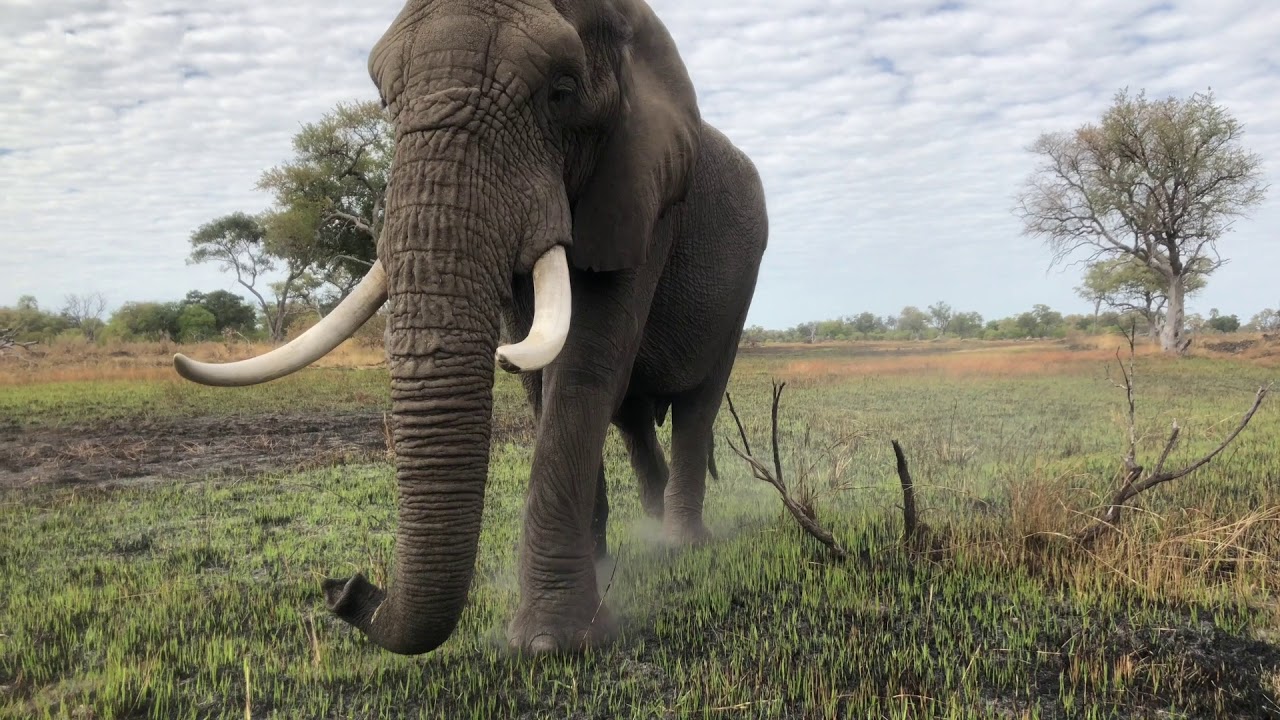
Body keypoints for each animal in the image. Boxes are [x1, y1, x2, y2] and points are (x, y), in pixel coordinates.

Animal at [173, 0, 768, 656]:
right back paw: (652, 533)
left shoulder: (646, 194)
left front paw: (554, 642)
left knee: (695, 407)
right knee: (635, 419)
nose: (344, 588)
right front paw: (595, 578)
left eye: (561, 92)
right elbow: (541, 379)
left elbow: (583, 367)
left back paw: (681, 544)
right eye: (386, 103)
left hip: (742, 281)